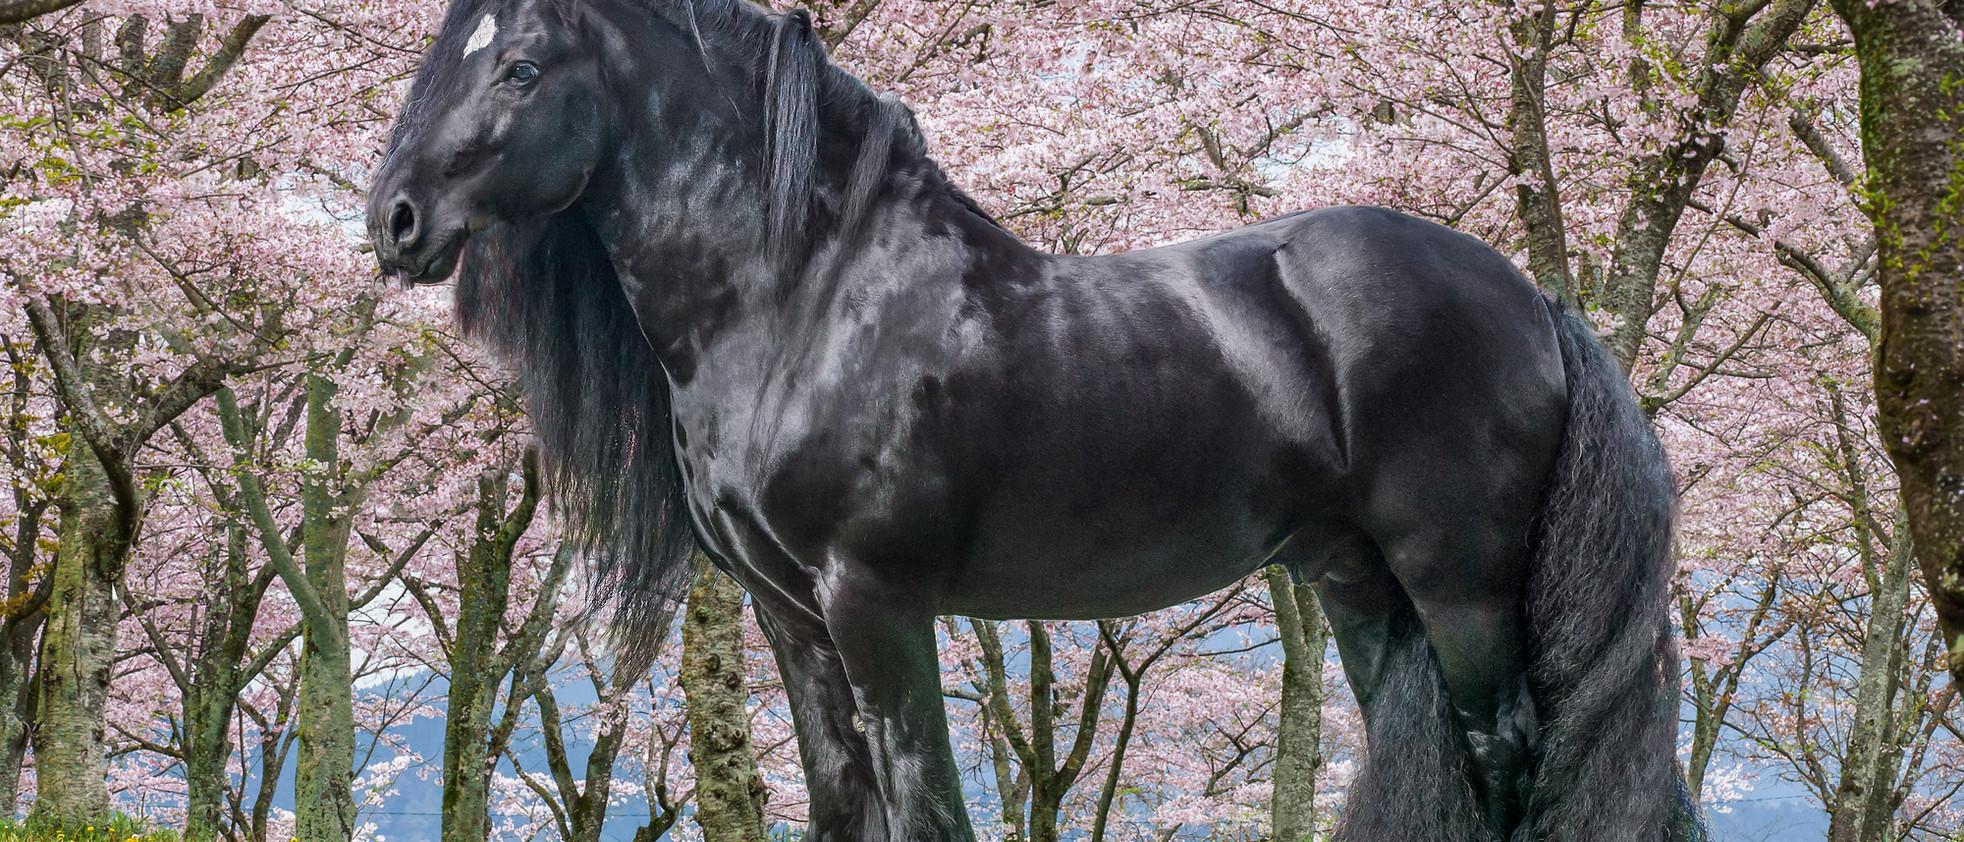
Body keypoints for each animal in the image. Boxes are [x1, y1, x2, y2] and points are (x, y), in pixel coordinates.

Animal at [365, 1, 1700, 839]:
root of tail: (1529, 298)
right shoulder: (788, 614)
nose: (394, 221)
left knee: (1509, 754)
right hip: (1357, 581)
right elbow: (844, 804)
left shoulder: (875, 599)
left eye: (521, 67)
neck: (805, 294)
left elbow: (926, 808)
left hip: (1460, 581)